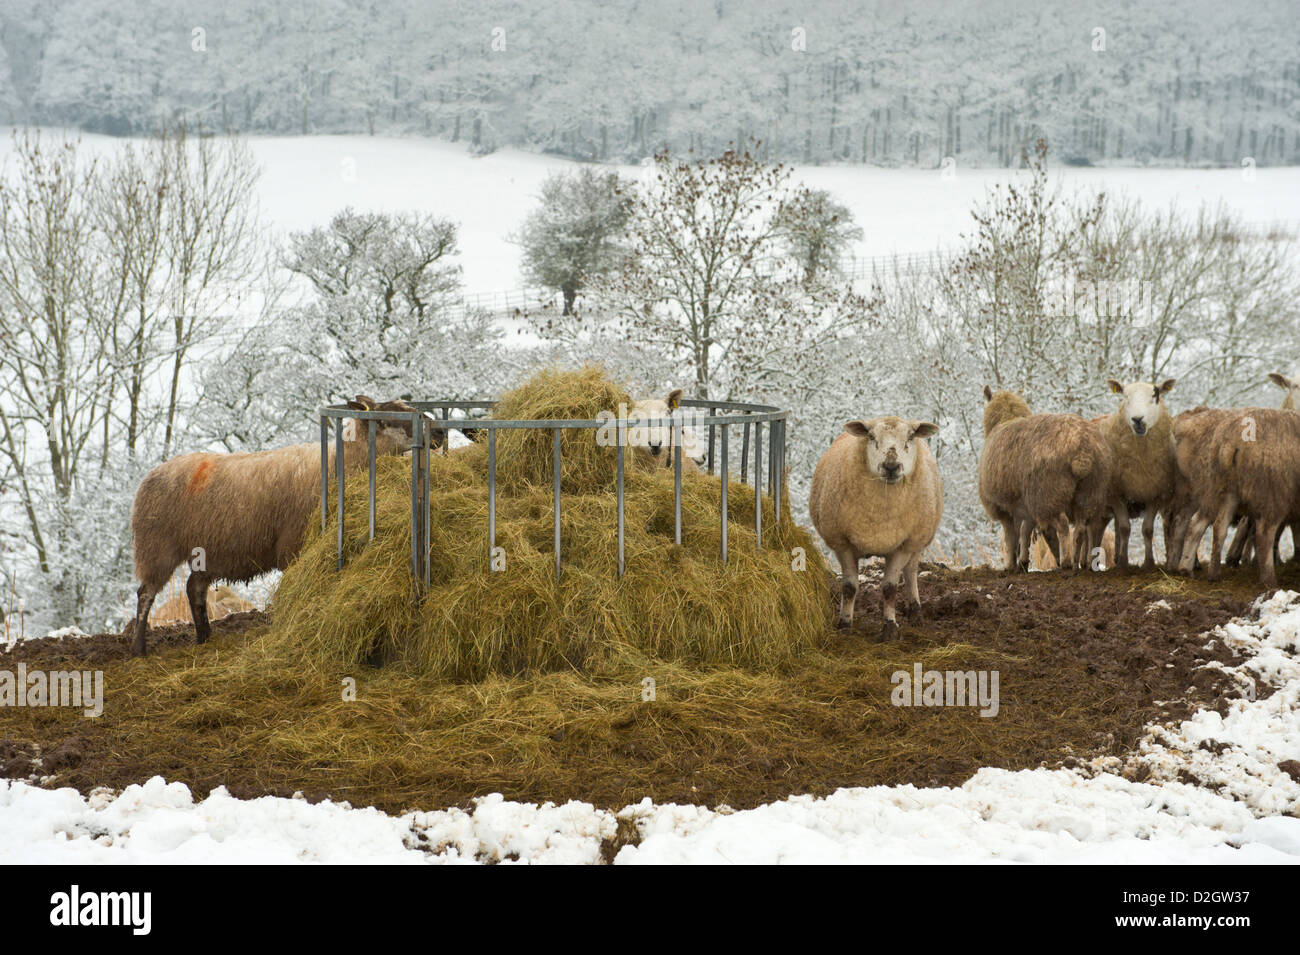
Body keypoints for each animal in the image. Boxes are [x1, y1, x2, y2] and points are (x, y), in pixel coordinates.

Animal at [129, 395, 420, 655]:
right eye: (384, 418)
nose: (430, 428)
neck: (341, 461)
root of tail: (150, 475)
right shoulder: (293, 546)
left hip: (205, 550)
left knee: (194, 588)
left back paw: (205, 638)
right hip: (157, 547)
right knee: (146, 594)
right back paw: (139, 649)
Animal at [809, 415, 942, 639]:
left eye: (910, 436)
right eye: (871, 437)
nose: (891, 466)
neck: (881, 515)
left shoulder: (902, 546)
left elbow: (890, 588)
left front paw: (890, 628)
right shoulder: (842, 544)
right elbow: (849, 587)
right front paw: (845, 624)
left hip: (918, 539)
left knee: (911, 572)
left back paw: (916, 612)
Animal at [978, 386, 1111, 572]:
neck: (1005, 420)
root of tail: (1082, 452)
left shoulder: (1003, 507)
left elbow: (1011, 536)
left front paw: (1011, 565)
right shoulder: (1026, 507)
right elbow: (1025, 531)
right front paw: (1023, 562)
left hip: (1048, 494)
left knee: (1063, 525)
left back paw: (1066, 562)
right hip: (1091, 491)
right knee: (1081, 528)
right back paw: (1077, 562)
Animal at [1091, 378, 1178, 569]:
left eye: (1155, 395)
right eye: (1125, 397)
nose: (1137, 419)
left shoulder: (1155, 494)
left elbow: (1147, 529)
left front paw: (1149, 563)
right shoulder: (1115, 494)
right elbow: (1125, 528)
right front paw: (1123, 563)